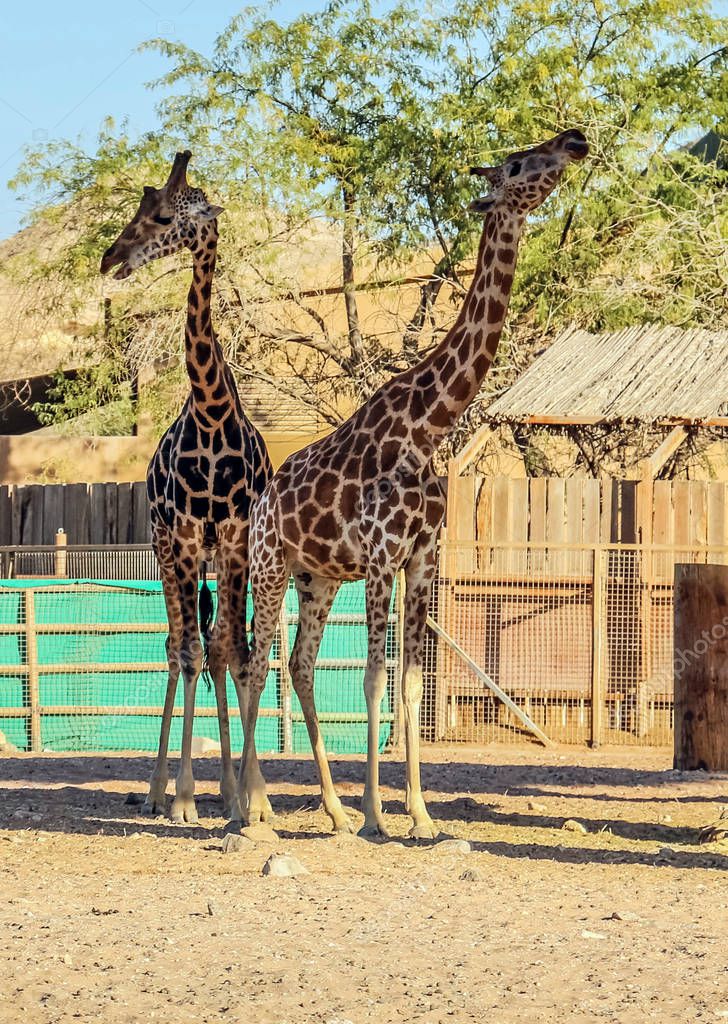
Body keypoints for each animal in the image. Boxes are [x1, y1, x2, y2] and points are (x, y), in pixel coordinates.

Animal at [100, 151, 273, 824]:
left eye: (165, 217)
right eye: (138, 209)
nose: (111, 258)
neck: (211, 412)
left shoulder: (234, 538)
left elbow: (233, 651)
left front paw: (248, 796)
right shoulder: (183, 535)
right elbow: (192, 652)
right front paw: (182, 796)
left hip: (209, 556)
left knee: (211, 643)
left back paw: (222, 786)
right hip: (165, 546)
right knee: (177, 644)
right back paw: (156, 790)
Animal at [235, 128, 589, 839]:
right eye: (517, 164)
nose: (576, 140)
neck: (429, 427)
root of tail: (258, 505)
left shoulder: (422, 559)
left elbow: (413, 685)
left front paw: (420, 815)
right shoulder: (380, 556)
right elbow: (375, 679)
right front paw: (380, 813)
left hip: (318, 579)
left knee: (300, 666)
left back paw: (332, 810)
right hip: (270, 568)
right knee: (256, 667)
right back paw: (254, 808)